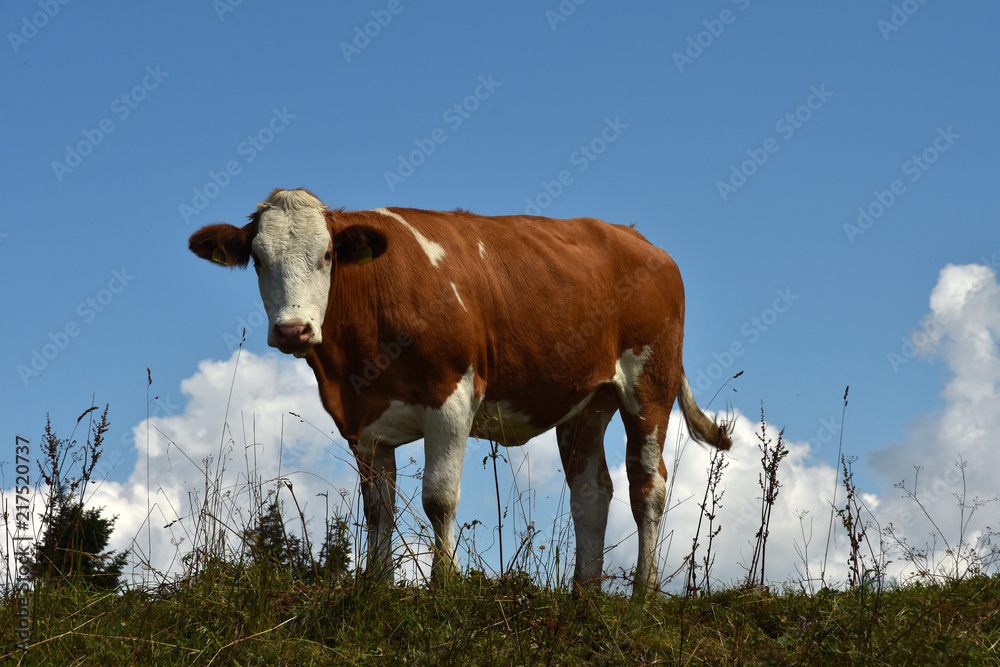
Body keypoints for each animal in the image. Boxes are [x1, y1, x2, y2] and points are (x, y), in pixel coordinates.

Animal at [189, 188, 732, 593]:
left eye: (326, 256)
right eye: (259, 260)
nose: (292, 330)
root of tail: (639, 239)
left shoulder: (451, 399)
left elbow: (439, 498)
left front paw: (443, 585)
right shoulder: (365, 423)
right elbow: (378, 509)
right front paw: (377, 586)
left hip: (650, 383)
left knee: (648, 487)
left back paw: (644, 593)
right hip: (585, 402)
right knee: (591, 493)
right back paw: (584, 595)